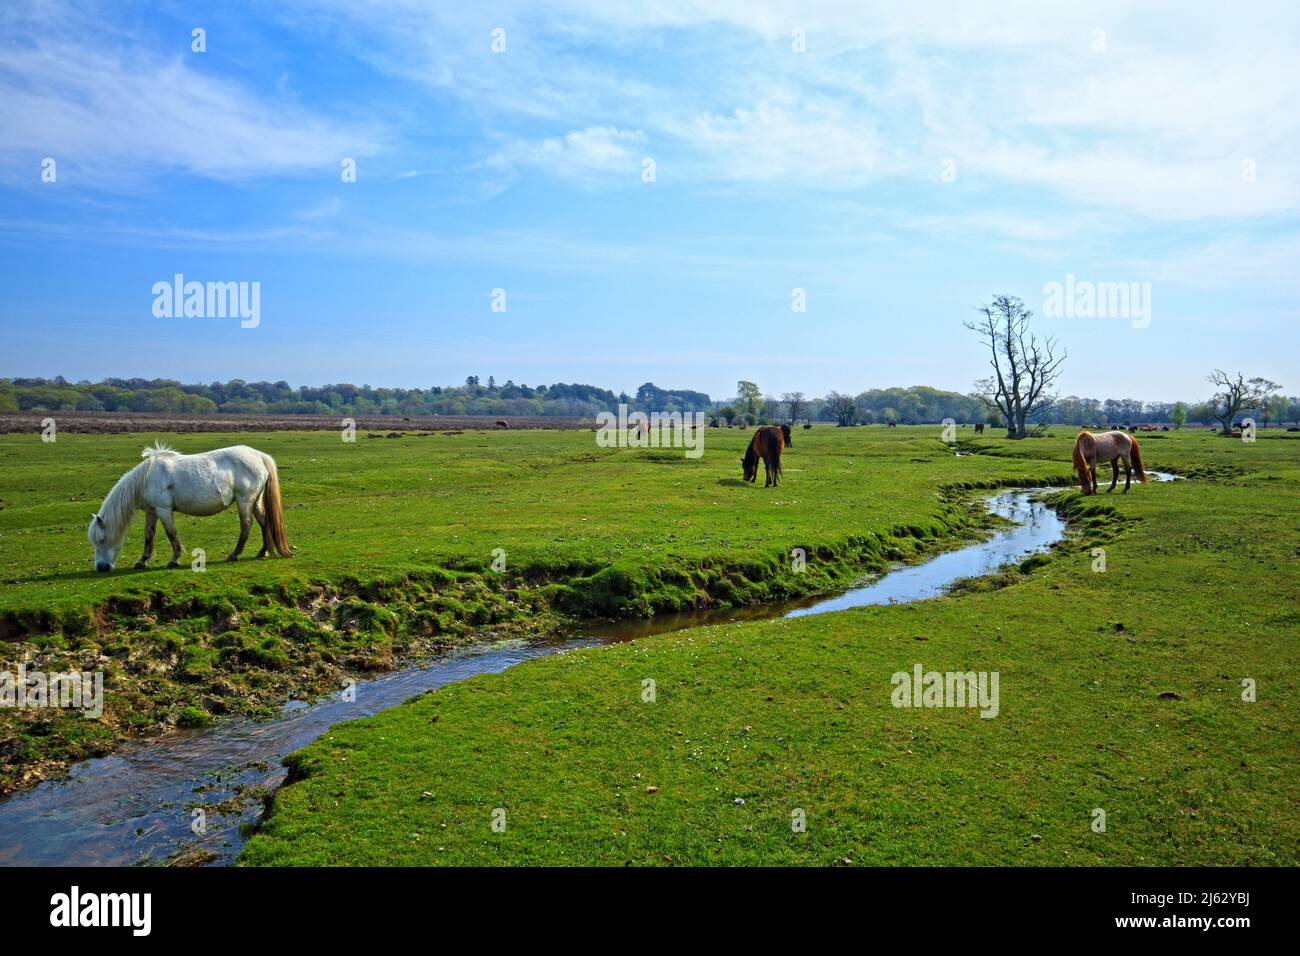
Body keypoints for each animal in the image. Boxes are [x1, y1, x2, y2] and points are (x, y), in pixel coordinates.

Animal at [88, 442, 292, 572]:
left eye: (102, 540)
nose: (101, 568)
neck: (147, 479)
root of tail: (260, 456)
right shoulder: (151, 511)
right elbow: (149, 535)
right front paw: (142, 561)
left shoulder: (163, 510)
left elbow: (171, 533)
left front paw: (174, 560)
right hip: (255, 500)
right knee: (263, 521)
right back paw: (262, 551)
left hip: (245, 500)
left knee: (246, 525)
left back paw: (234, 555)